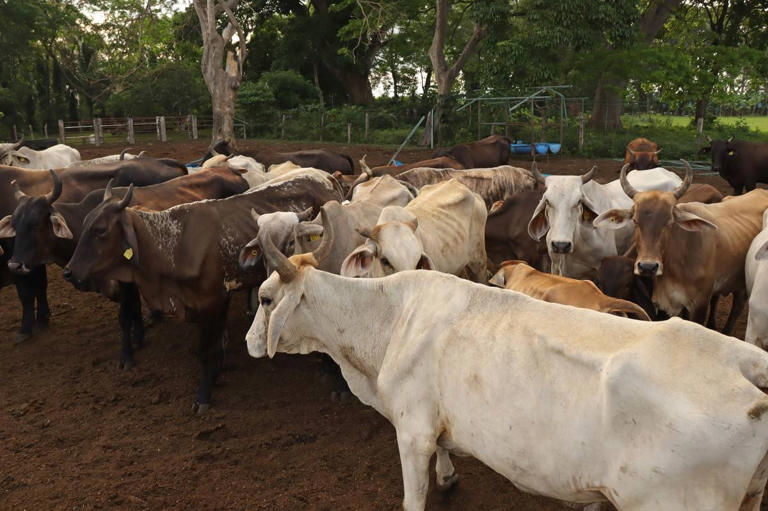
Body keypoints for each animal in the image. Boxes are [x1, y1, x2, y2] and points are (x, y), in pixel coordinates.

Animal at [63, 176, 341, 412]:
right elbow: (214, 345)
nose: (69, 272)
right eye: (84, 224)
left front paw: (203, 396)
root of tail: (326, 180)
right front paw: (216, 376)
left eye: (100, 230)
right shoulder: (214, 301)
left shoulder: (210, 301)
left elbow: (206, 350)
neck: (175, 245)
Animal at [594, 164, 768, 334]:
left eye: (670, 222)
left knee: (736, 308)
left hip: (743, 286)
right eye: (635, 220)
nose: (648, 267)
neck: (676, 265)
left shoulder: (699, 305)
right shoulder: (664, 304)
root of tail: (760, 191)